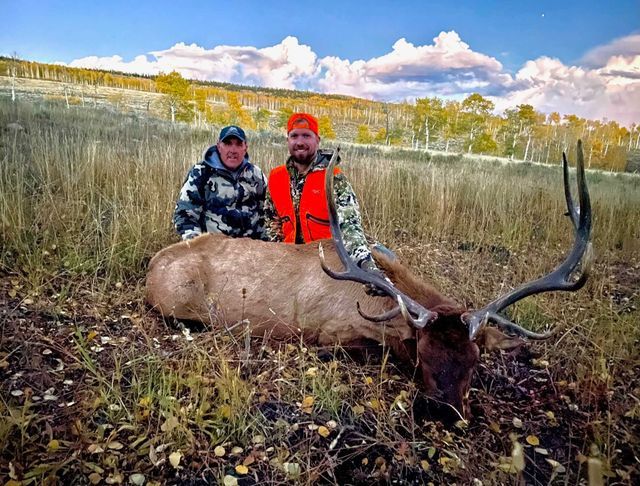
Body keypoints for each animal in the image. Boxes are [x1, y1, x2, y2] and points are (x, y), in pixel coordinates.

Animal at [145, 141, 592, 417]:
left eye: (475, 359)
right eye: (422, 352)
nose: (443, 411)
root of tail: (151, 267)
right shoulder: (329, 333)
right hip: (181, 304)